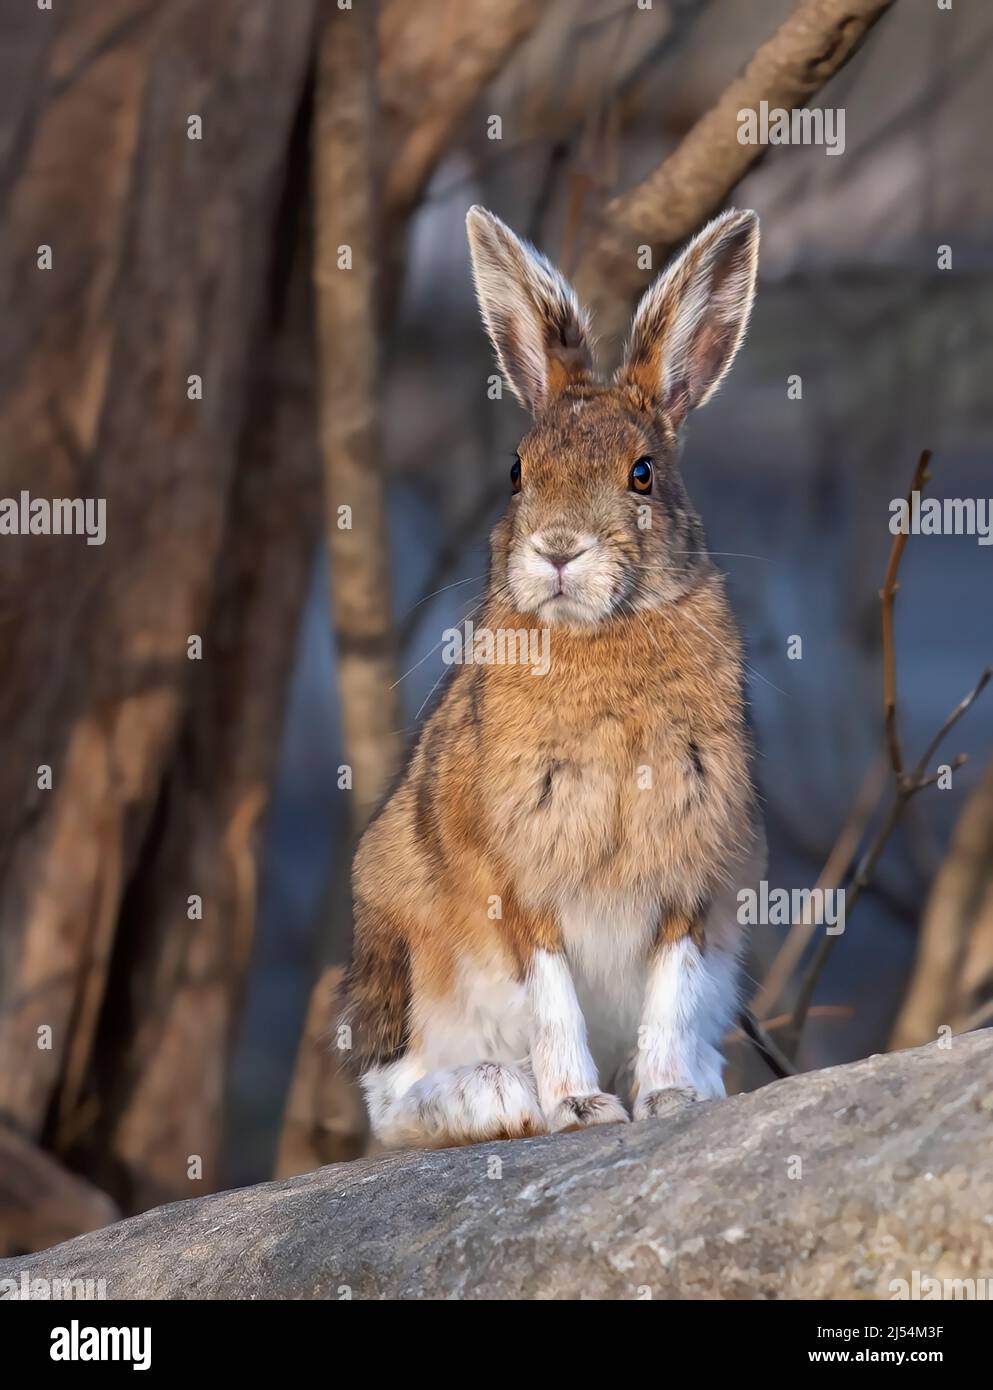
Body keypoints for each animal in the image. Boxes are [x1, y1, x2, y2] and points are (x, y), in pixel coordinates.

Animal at [340, 204, 766, 1150]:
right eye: (516, 471)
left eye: (641, 474)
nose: (558, 550)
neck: (596, 639)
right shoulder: (517, 877)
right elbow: (550, 994)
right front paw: (577, 1107)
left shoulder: (689, 869)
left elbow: (670, 988)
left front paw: (669, 1099)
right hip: (405, 942)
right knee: (392, 1102)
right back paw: (499, 1098)